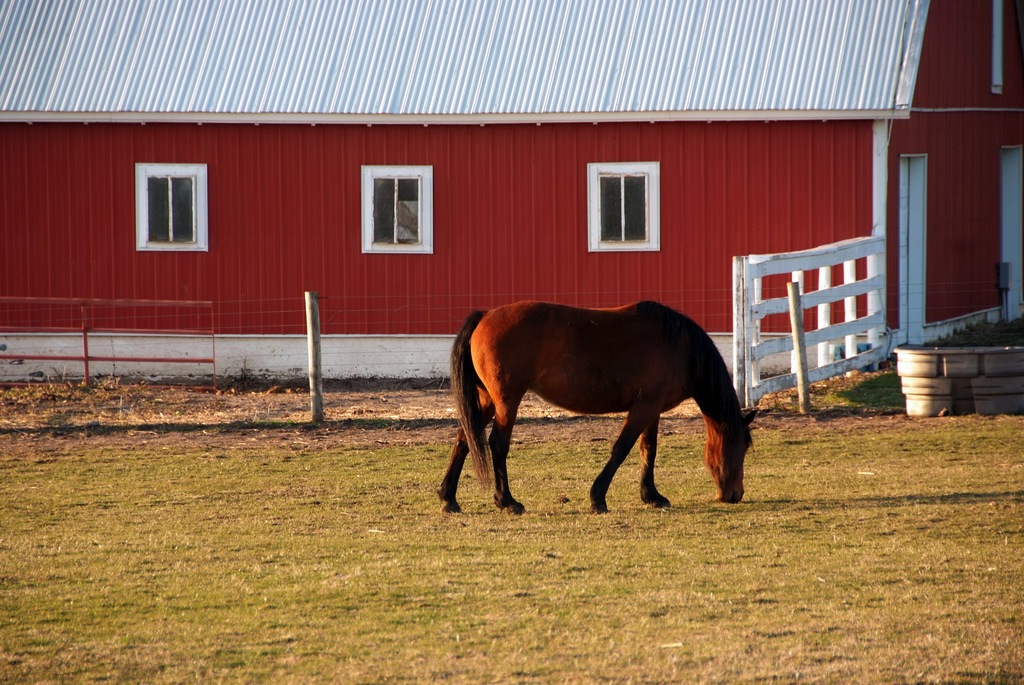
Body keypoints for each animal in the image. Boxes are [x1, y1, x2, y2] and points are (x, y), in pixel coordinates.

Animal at [437, 300, 756, 514]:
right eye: (741, 447)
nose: (735, 494)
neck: (681, 347)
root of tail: (485, 315)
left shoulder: (652, 410)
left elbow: (648, 450)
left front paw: (652, 495)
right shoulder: (643, 409)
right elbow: (621, 449)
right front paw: (598, 498)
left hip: (487, 399)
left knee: (465, 438)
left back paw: (449, 498)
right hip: (506, 401)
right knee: (497, 444)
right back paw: (507, 501)